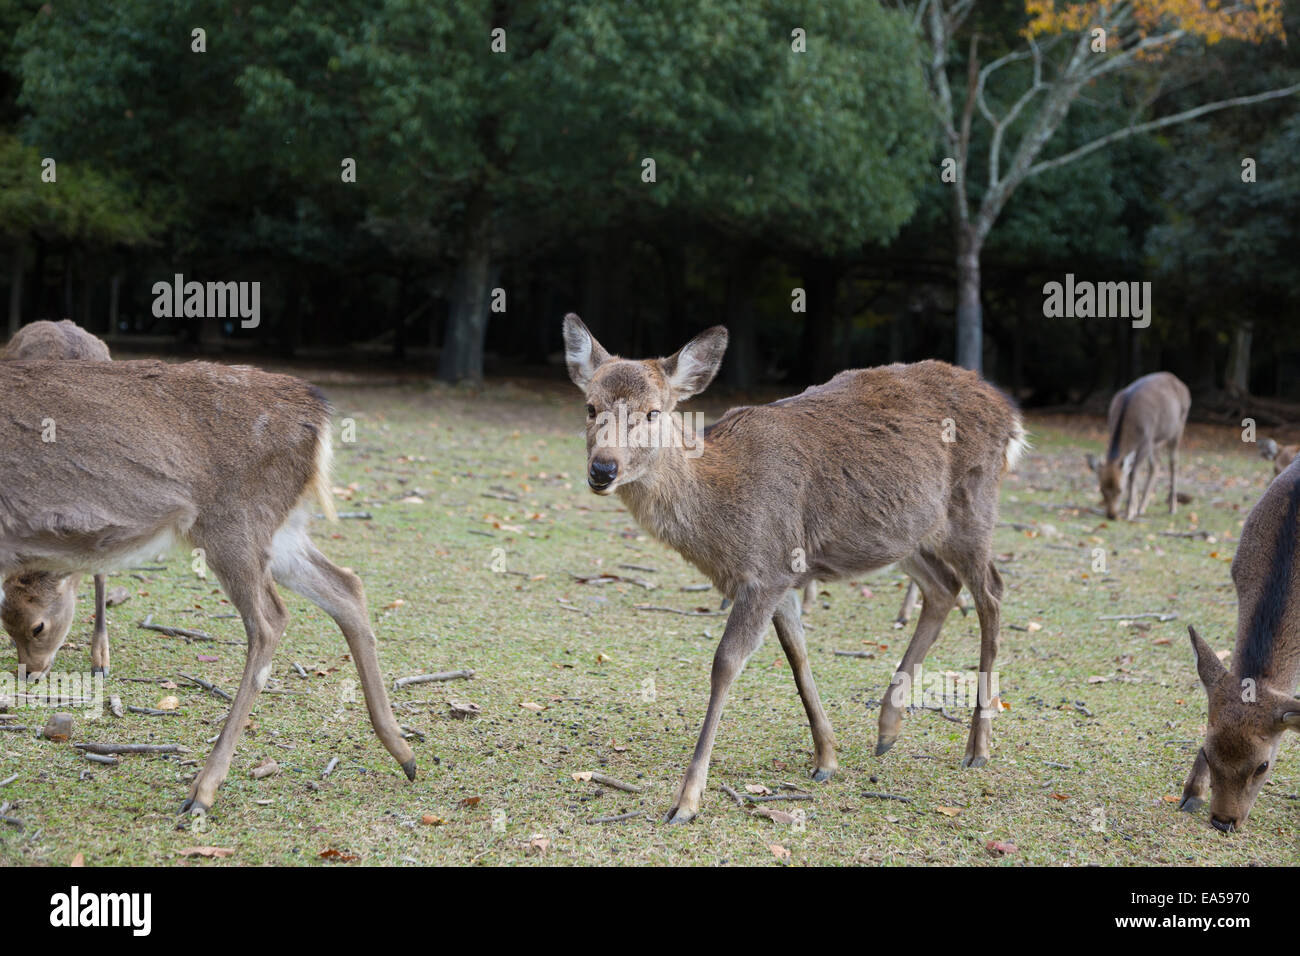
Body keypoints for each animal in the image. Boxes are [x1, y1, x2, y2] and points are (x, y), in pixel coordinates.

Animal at [0, 358, 416, 813]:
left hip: (235, 522)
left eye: (37, 626)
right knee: (346, 585)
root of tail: (318, 410)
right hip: (280, 530)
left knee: (269, 620)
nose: (29, 672)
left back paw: (203, 788)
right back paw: (404, 752)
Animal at [561, 314, 1026, 823]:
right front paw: (826, 758)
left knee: (992, 593)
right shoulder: (783, 575)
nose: (603, 469)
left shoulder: (765, 570)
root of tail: (1010, 414)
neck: (721, 511)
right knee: (943, 587)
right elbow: (798, 655)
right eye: (589, 406)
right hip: (904, 534)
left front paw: (686, 800)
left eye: (652, 413)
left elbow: (726, 663)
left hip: (972, 505)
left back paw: (977, 746)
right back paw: (888, 728)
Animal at [1085, 372, 1190, 521]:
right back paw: (1142, 507)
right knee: (1156, 465)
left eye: (1120, 489)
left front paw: (1129, 512)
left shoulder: (1146, 440)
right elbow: (1132, 470)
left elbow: (1133, 473)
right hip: (1156, 440)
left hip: (1178, 428)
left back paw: (1172, 508)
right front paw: (1133, 509)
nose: (1111, 515)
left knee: (1173, 463)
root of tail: (1180, 382)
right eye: (1101, 489)